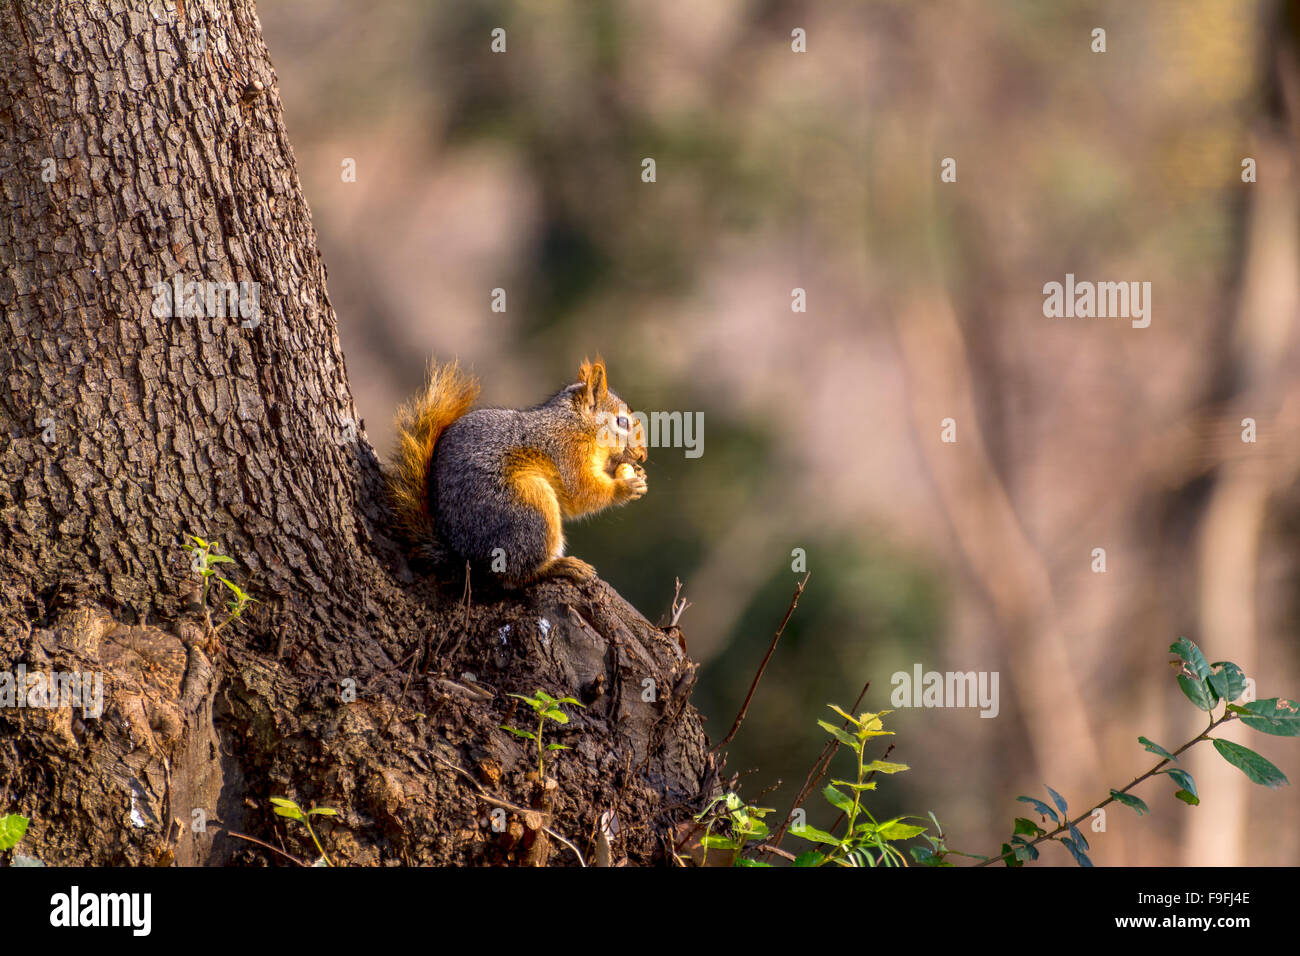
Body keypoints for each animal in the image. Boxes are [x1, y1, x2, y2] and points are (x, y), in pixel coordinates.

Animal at [386, 357, 648, 587]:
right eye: (622, 423)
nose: (643, 455)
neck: (577, 425)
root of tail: (464, 557)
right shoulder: (567, 452)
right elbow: (581, 493)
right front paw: (625, 487)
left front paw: (638, 473)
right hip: (528, 506)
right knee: (517, 574)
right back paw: (559, 566)